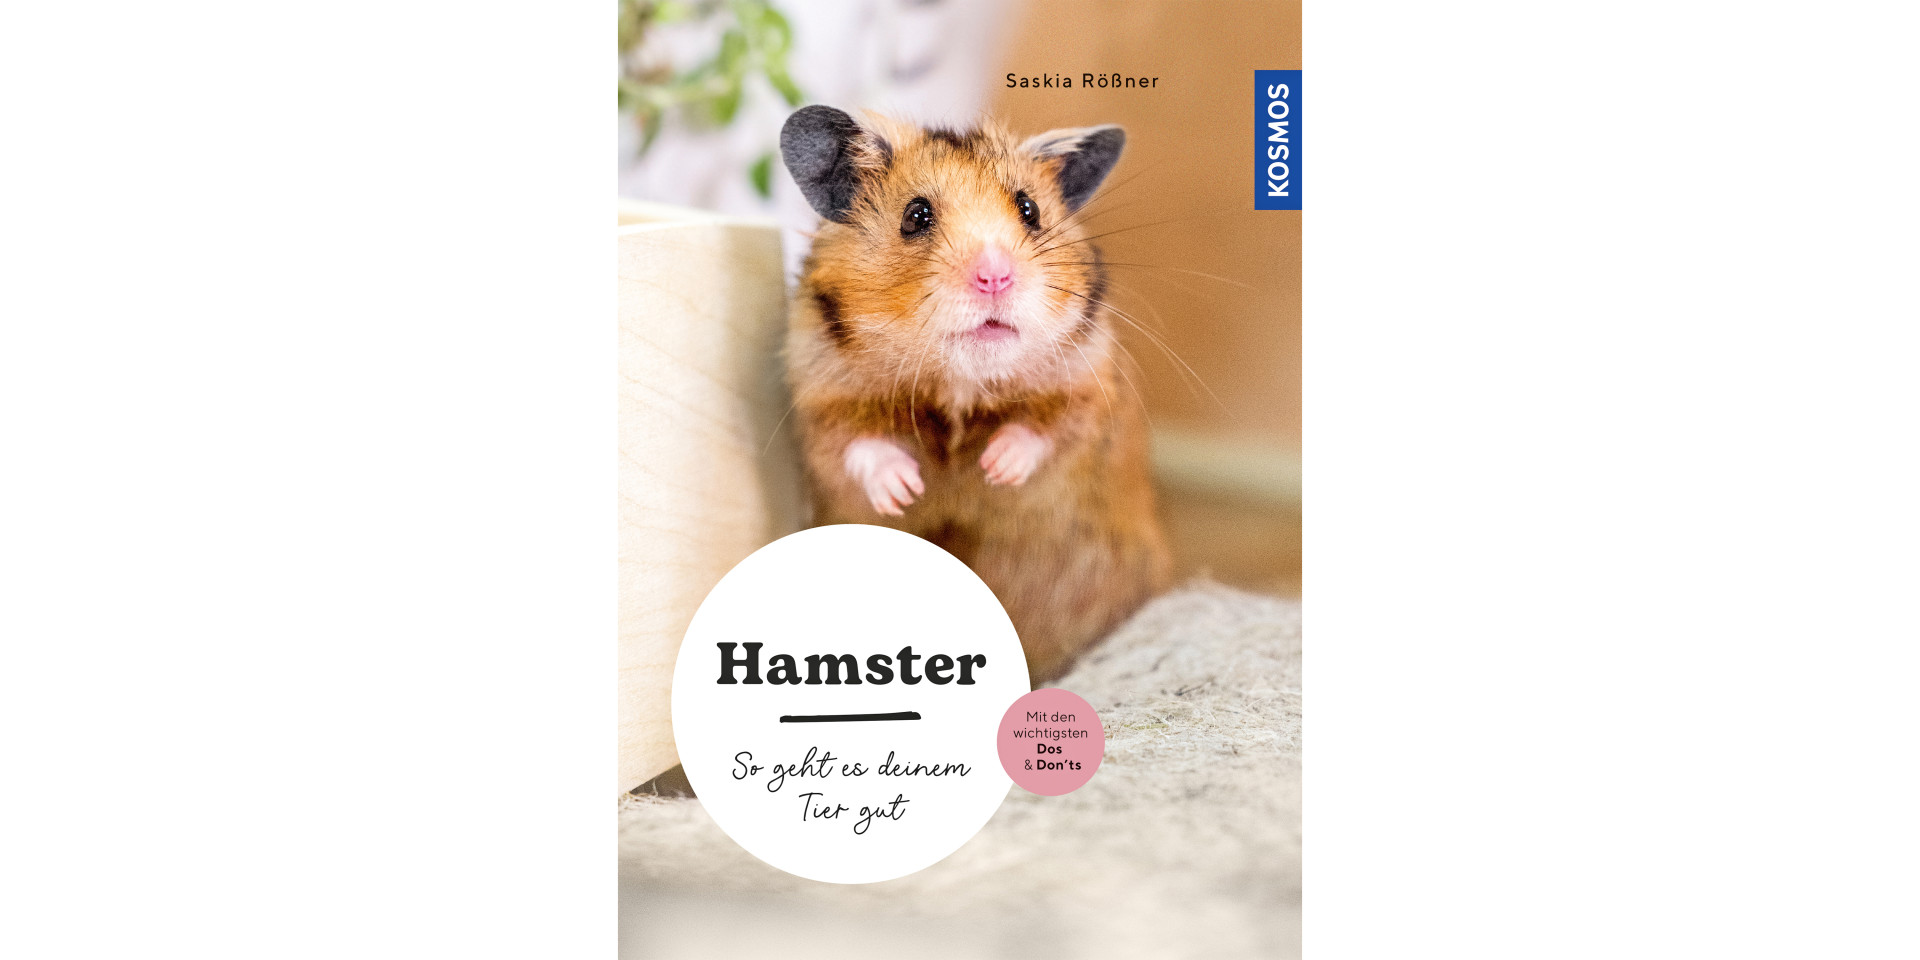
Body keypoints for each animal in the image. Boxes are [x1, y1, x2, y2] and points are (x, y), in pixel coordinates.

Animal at [778, 105, 1172, 684]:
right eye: (915, 215)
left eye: (1029, 209)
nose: (994, 277)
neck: (960, 382)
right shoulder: (820, 398)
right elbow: (858, 444)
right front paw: (907, 490)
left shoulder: (1088, 395)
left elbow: (1044, 432)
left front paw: (993, 468)